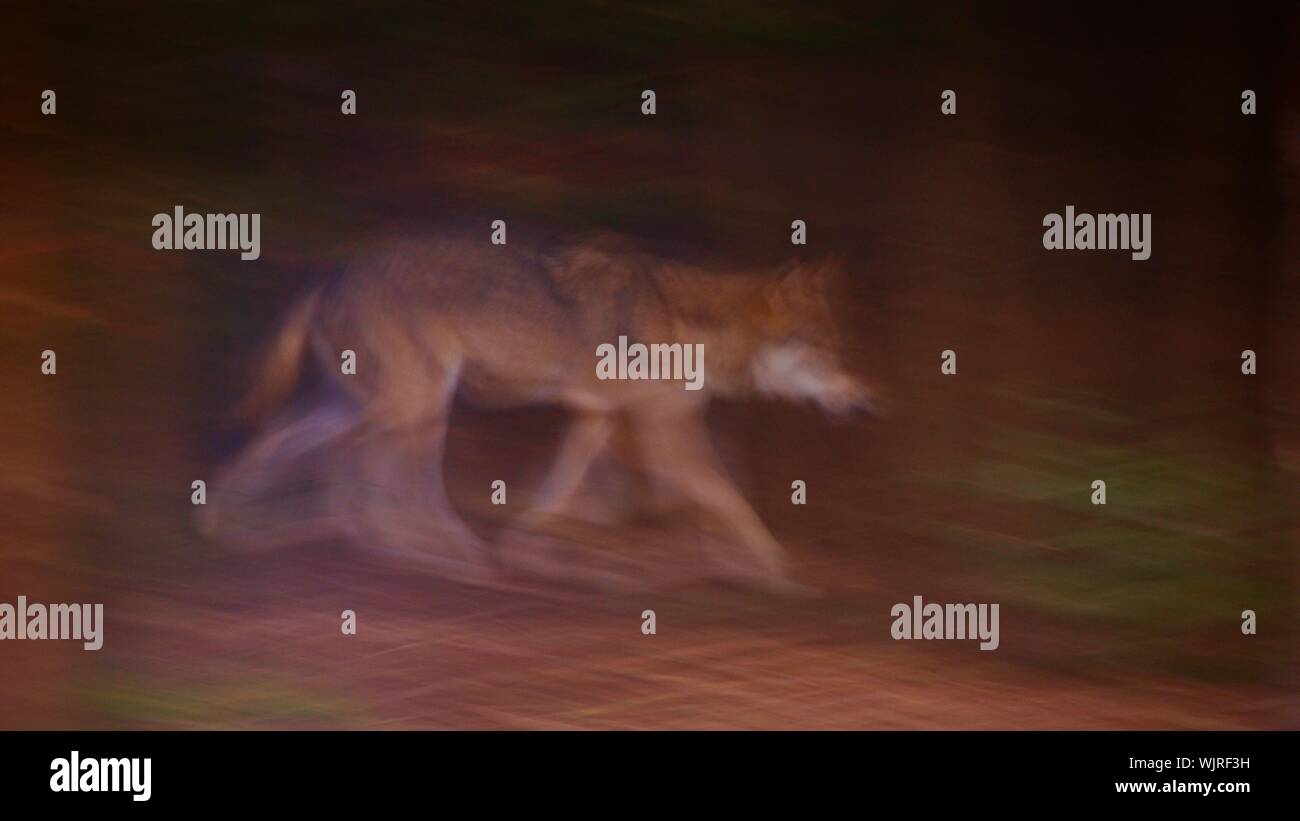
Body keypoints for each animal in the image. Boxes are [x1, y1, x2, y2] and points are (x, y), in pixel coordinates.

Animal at [199, 232, 878, 591]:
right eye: (827, 348)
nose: (868, 401)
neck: (690, 324)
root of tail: (334, 271)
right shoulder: (662, 432)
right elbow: (729, 500)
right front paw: (782, 573)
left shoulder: (595, 419)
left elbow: (557, 492)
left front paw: (527, 549)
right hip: (416, 405)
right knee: (384, 476)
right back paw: (435, 553)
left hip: (366, 406)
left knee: (280, 446)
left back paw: (236, 526)